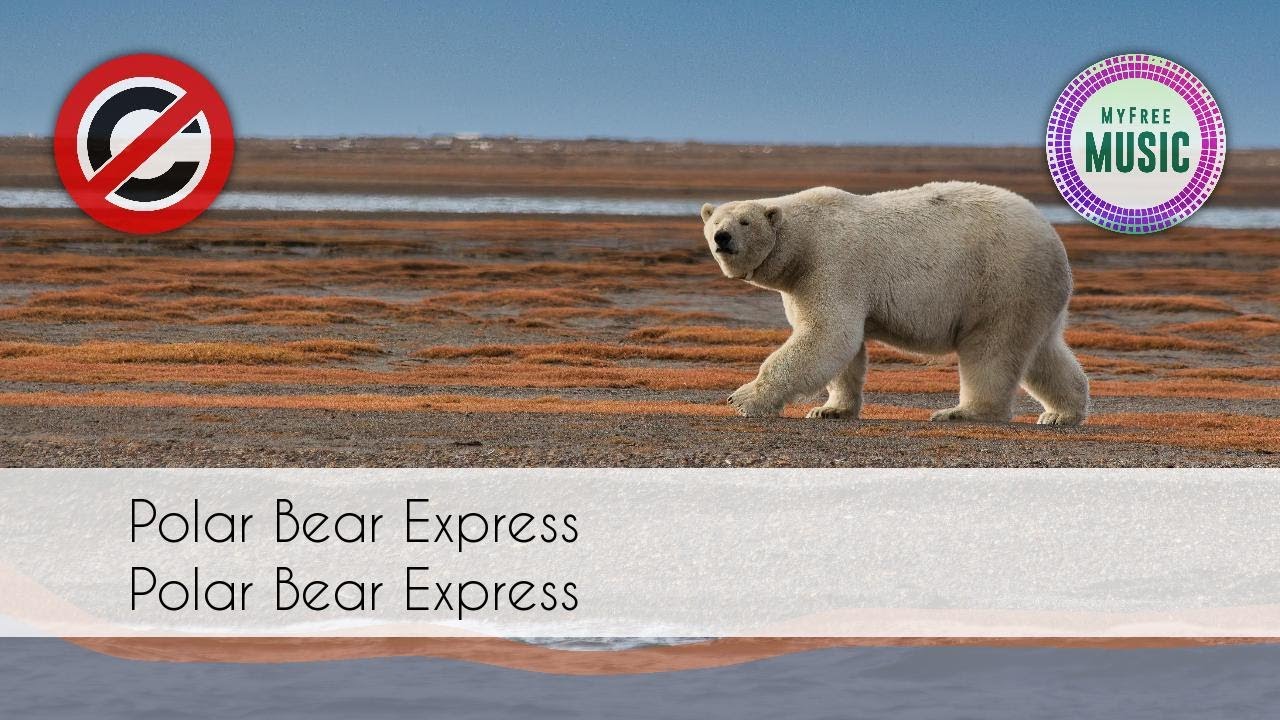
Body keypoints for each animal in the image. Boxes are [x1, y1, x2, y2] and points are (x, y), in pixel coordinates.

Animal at [699, 182, 1089, 425]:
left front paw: (744, 399)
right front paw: (830, 410)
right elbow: (843, 348)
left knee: (991, 350)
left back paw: (961, 412)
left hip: (1000, 282)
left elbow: (828, 335)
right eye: (715, 220)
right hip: (1033, 295)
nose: (722, 237)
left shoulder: (832, 263)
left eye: (744, 221)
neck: (801, 244)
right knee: (1043, 352)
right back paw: (1061, 413)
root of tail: (1053, 238)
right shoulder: (803, 283)